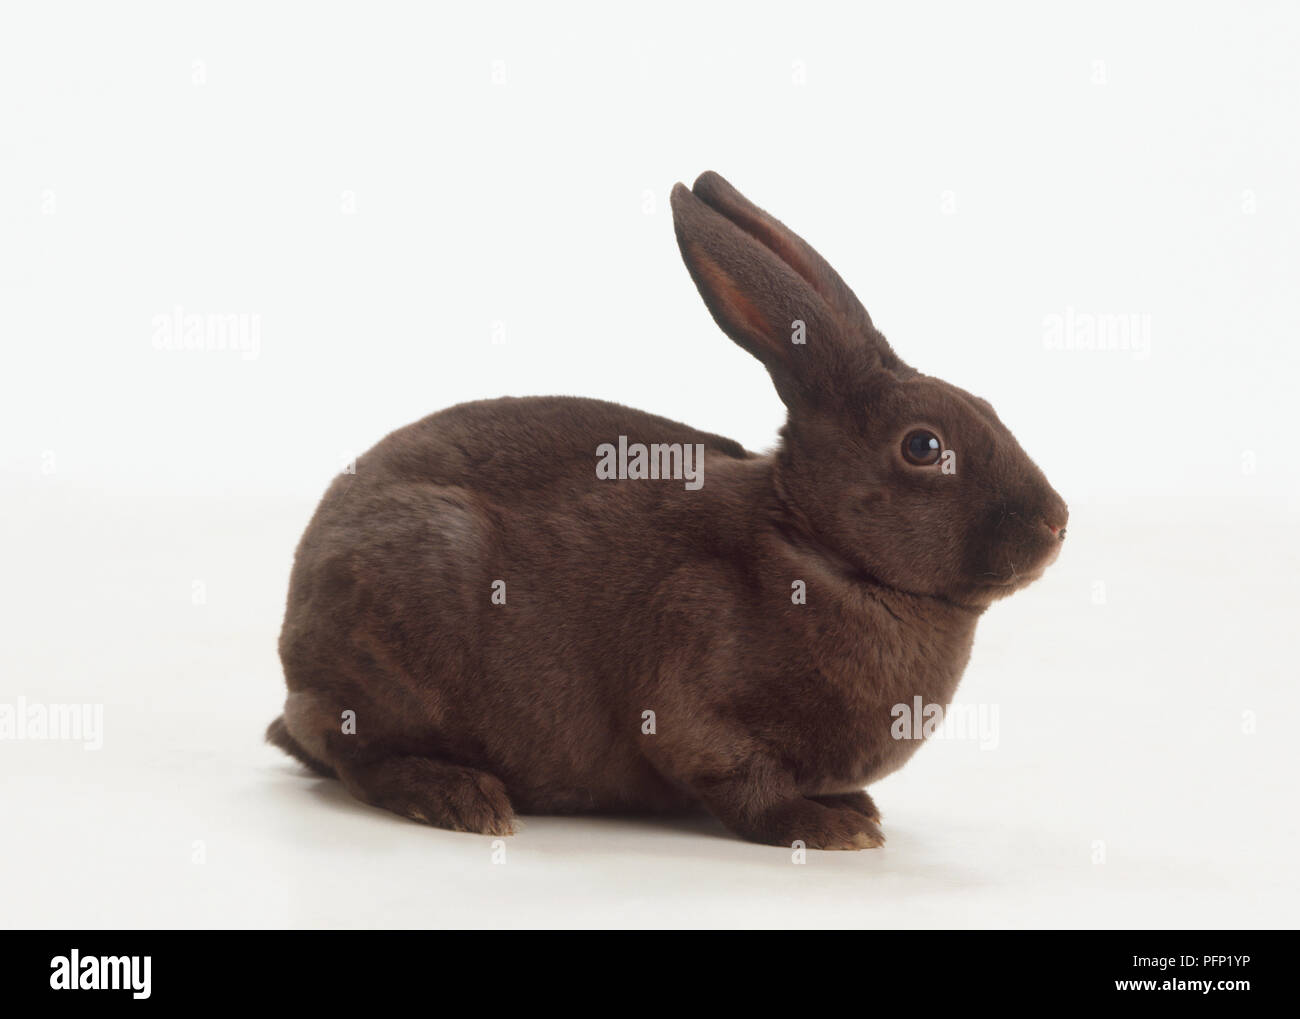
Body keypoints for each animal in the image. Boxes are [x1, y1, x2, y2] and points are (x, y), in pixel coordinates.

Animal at [267, 171, 1068, 850]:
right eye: (924, 446)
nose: (1057, 523)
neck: (816, 546)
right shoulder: (690, 666)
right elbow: (739, 780)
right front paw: (833, 828)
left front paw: (857, 809)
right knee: (349, 747)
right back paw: (461, 798)